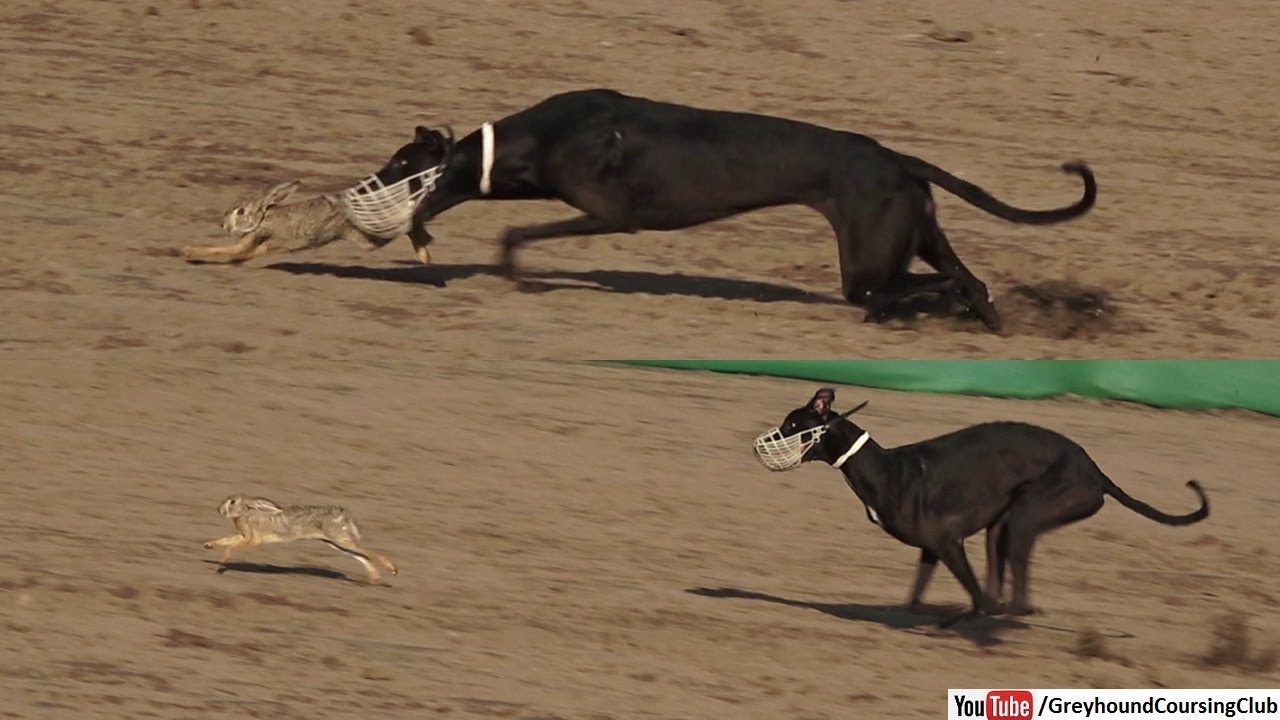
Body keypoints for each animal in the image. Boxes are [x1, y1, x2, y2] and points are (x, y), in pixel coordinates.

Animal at [180, 179, 433, 265]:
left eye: (240, 211)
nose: (222, 224)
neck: (260, 219)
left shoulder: (254, 237)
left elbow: (224, 250)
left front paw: (190, 251)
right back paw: (425, 252)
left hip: (365, 236)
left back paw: (424, 253)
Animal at [203, 493, 399, 584]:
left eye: (233, 502)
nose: (218, 509)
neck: (246, 512)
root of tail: (343, 515)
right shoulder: (242, 535)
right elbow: (225, 540)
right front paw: (208, 545)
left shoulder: (252, 539)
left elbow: (231, 547)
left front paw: (222, 564)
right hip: (335, 543)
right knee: (363, 556)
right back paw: (374, 579)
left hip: (339, 539)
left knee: (370, 552)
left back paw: (392, 570)